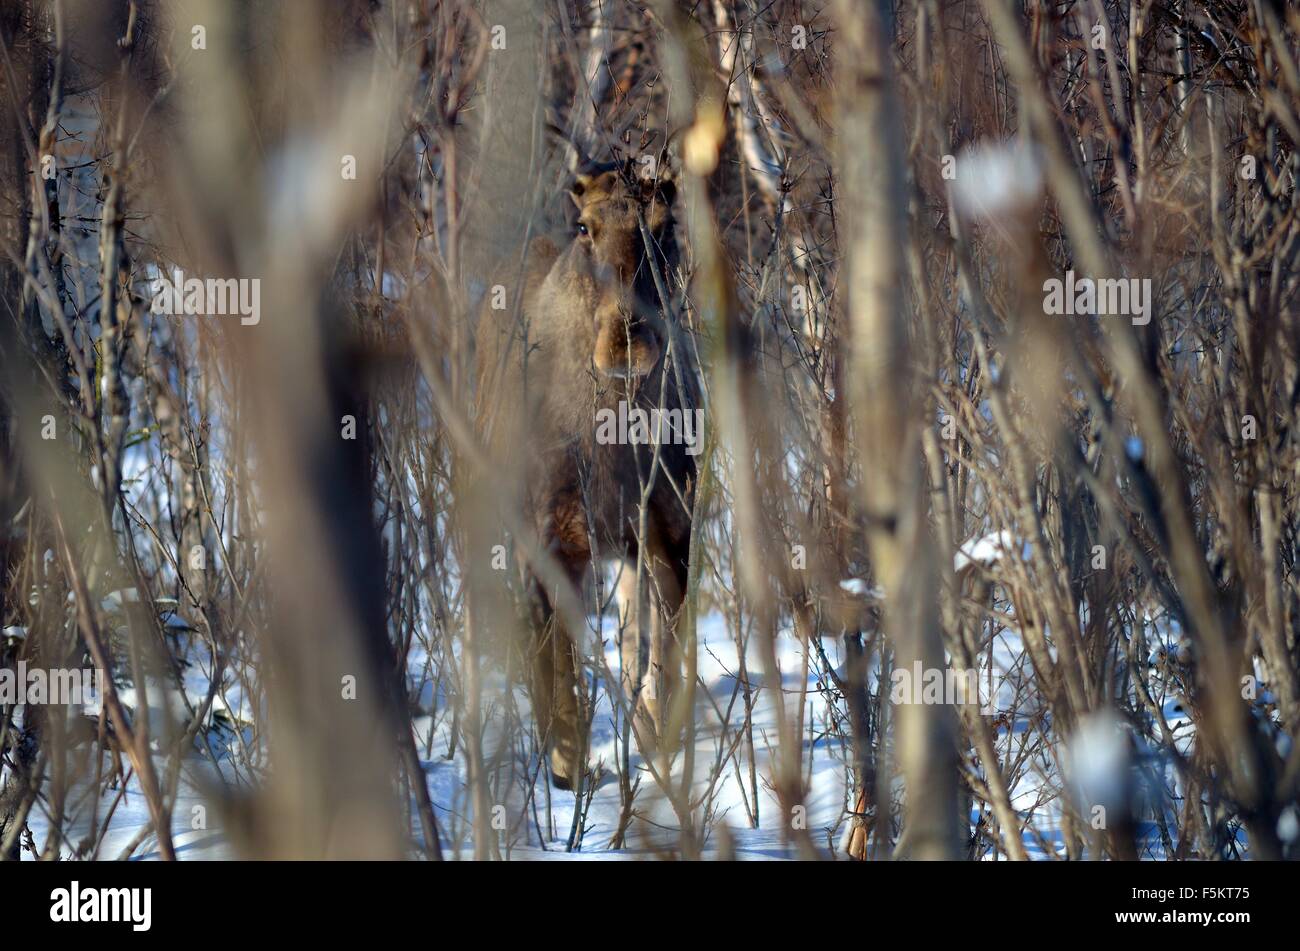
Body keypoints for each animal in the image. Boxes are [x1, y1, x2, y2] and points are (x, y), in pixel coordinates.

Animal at [473, 150, 698, 790]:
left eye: (666, 227)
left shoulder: (670, 529)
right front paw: (566, 768)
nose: (626, 345)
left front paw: (659, 741)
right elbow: (562, 673)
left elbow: (664, 659)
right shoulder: (552, 540)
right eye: (585, 227)